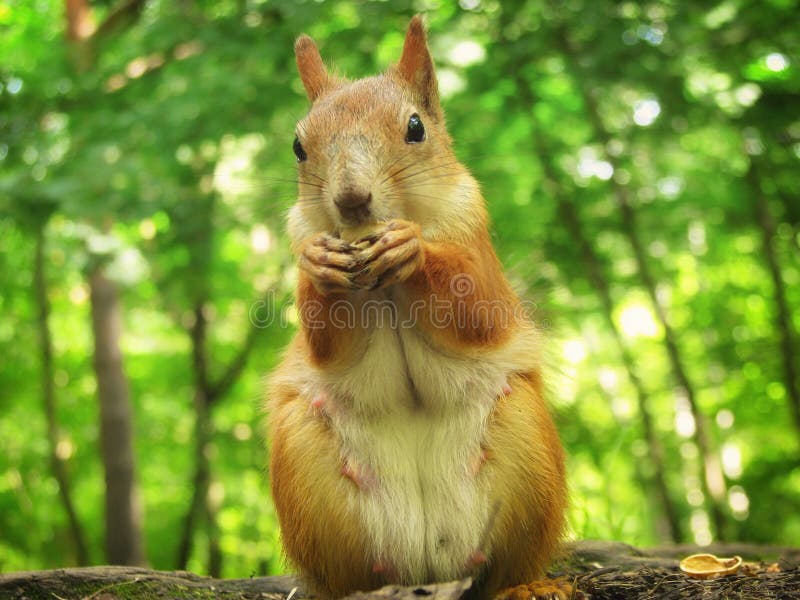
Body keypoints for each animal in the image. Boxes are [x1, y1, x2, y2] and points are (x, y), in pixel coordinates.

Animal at [267, 15, 569, 600]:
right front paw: (318, 264)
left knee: (507, 567)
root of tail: (428, 565)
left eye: (415, 127)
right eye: (297, 146)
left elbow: (476, 310)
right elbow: (326, 343)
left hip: (526, 446)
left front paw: (413, 251)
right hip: (306, 467)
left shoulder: (475, 245)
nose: (352, 200)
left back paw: (527, 586)